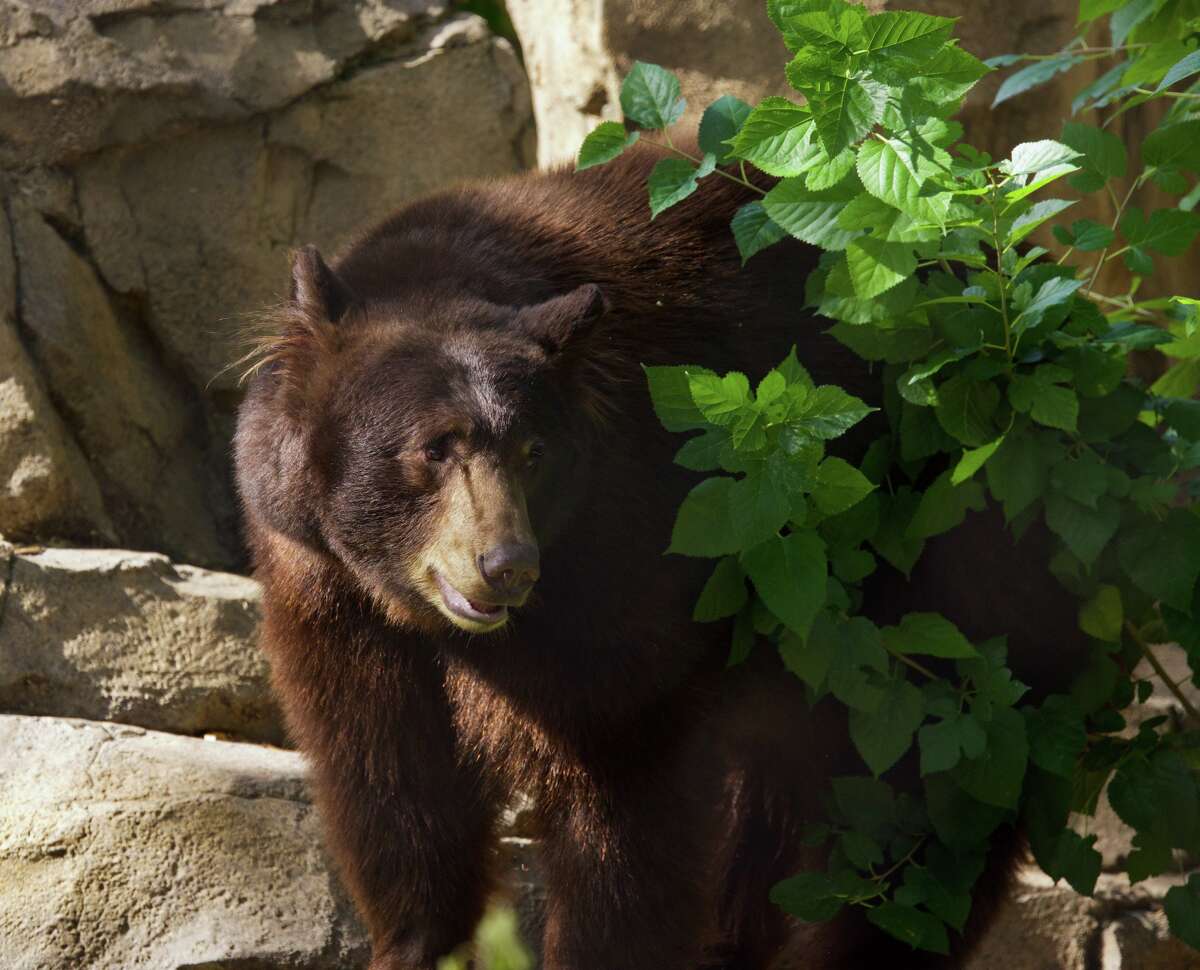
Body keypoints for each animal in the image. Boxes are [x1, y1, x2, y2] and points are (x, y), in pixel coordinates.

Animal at [234, 144, 1087, 970]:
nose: (507, 565)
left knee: (942, 788)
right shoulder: (326, 591)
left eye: (533, 451)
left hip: (962, 540)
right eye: (435, 447)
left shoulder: (618, 568)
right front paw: (416, 942)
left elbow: (623, 797)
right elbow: (392, 786)